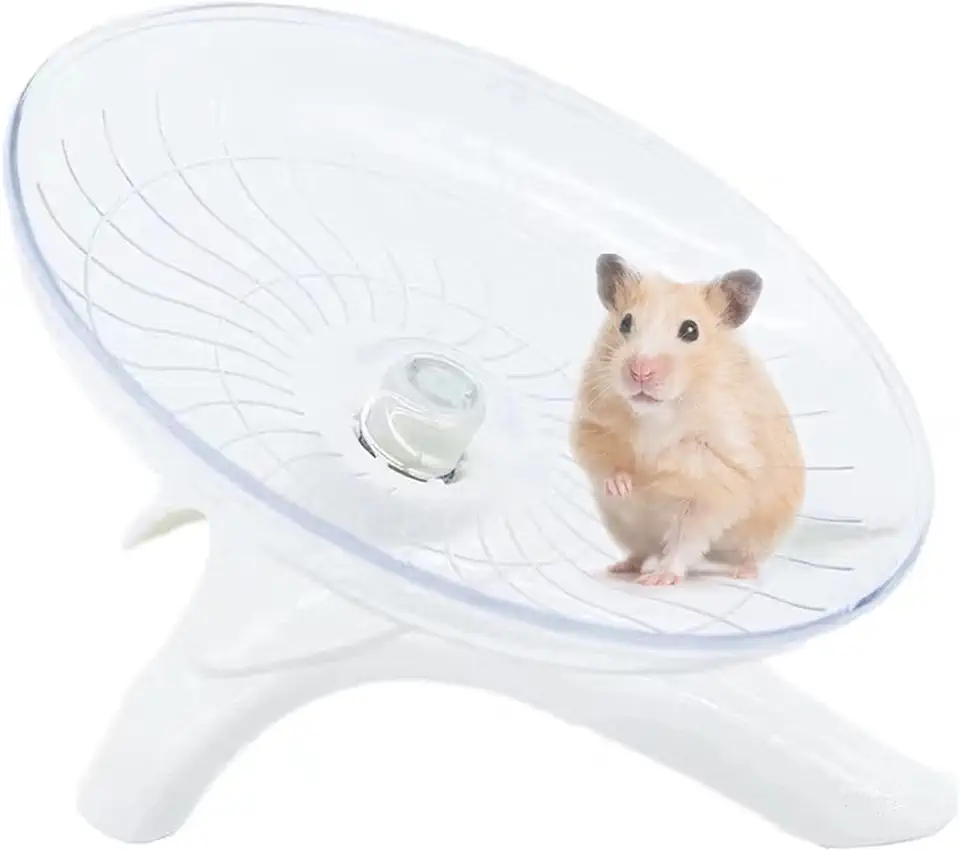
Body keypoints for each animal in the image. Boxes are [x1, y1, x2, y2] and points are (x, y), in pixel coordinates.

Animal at [570, 253, 804, 586]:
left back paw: (738, 574)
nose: (640, 371)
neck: (655, 414)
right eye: (625, 322)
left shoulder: (720, 478)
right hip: (626, 528)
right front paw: (626, 485)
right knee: (641, 551)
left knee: (740, 556)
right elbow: (602, 458)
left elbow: (686, 534)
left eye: (691, 330)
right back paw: (622, 567)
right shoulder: (591, 423)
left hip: (759, 537)